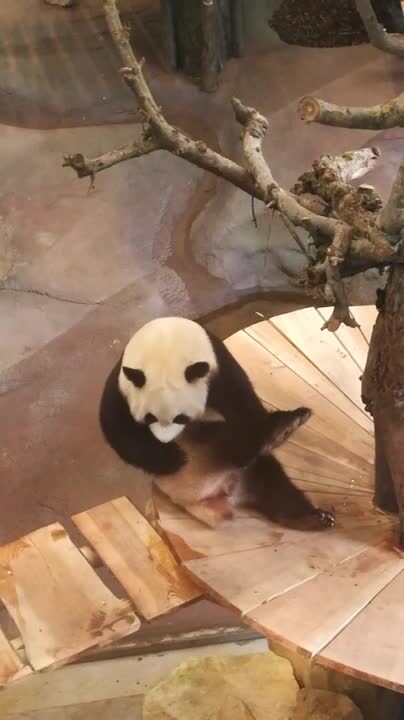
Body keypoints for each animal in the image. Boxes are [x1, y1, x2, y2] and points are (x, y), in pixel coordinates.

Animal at [100, 316, 335, 529]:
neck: (166, 341)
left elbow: (242, 405)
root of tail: (220, 492)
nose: (167, 442)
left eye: (181, 417)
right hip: (207, 449)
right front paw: (170, 458)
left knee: (269, 480)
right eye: (149, 417)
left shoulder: (219, 364)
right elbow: (120, 431)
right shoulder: (120, 384)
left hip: (243, 465)